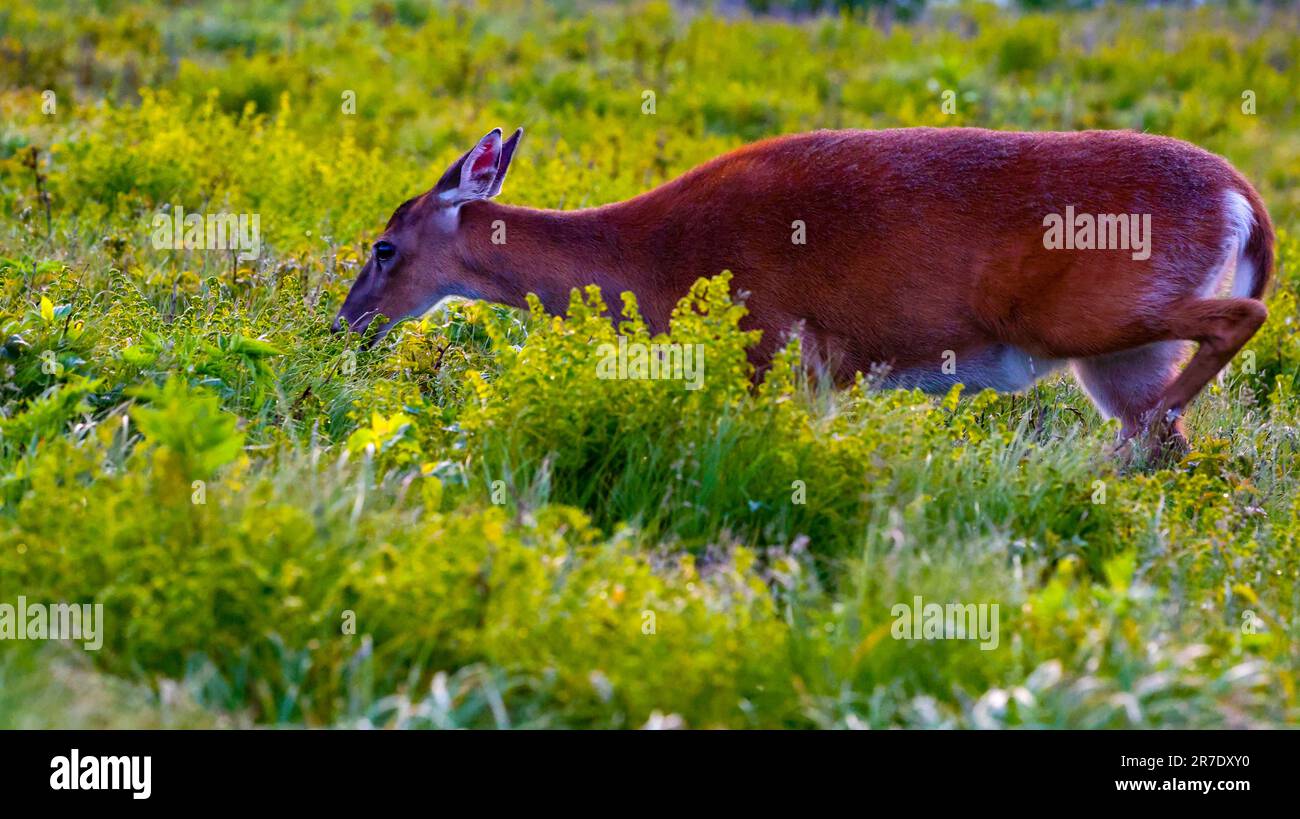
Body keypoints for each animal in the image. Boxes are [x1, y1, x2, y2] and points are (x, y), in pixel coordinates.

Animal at [334, 126, 1274, 457]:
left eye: (384, 247)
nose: (346, 322)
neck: (648, 261)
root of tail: (1244, 197)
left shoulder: (764, 331)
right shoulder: (826, 369)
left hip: (1085, 318)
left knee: (1243, 316)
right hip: (1118, 358)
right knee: (1180, 445)